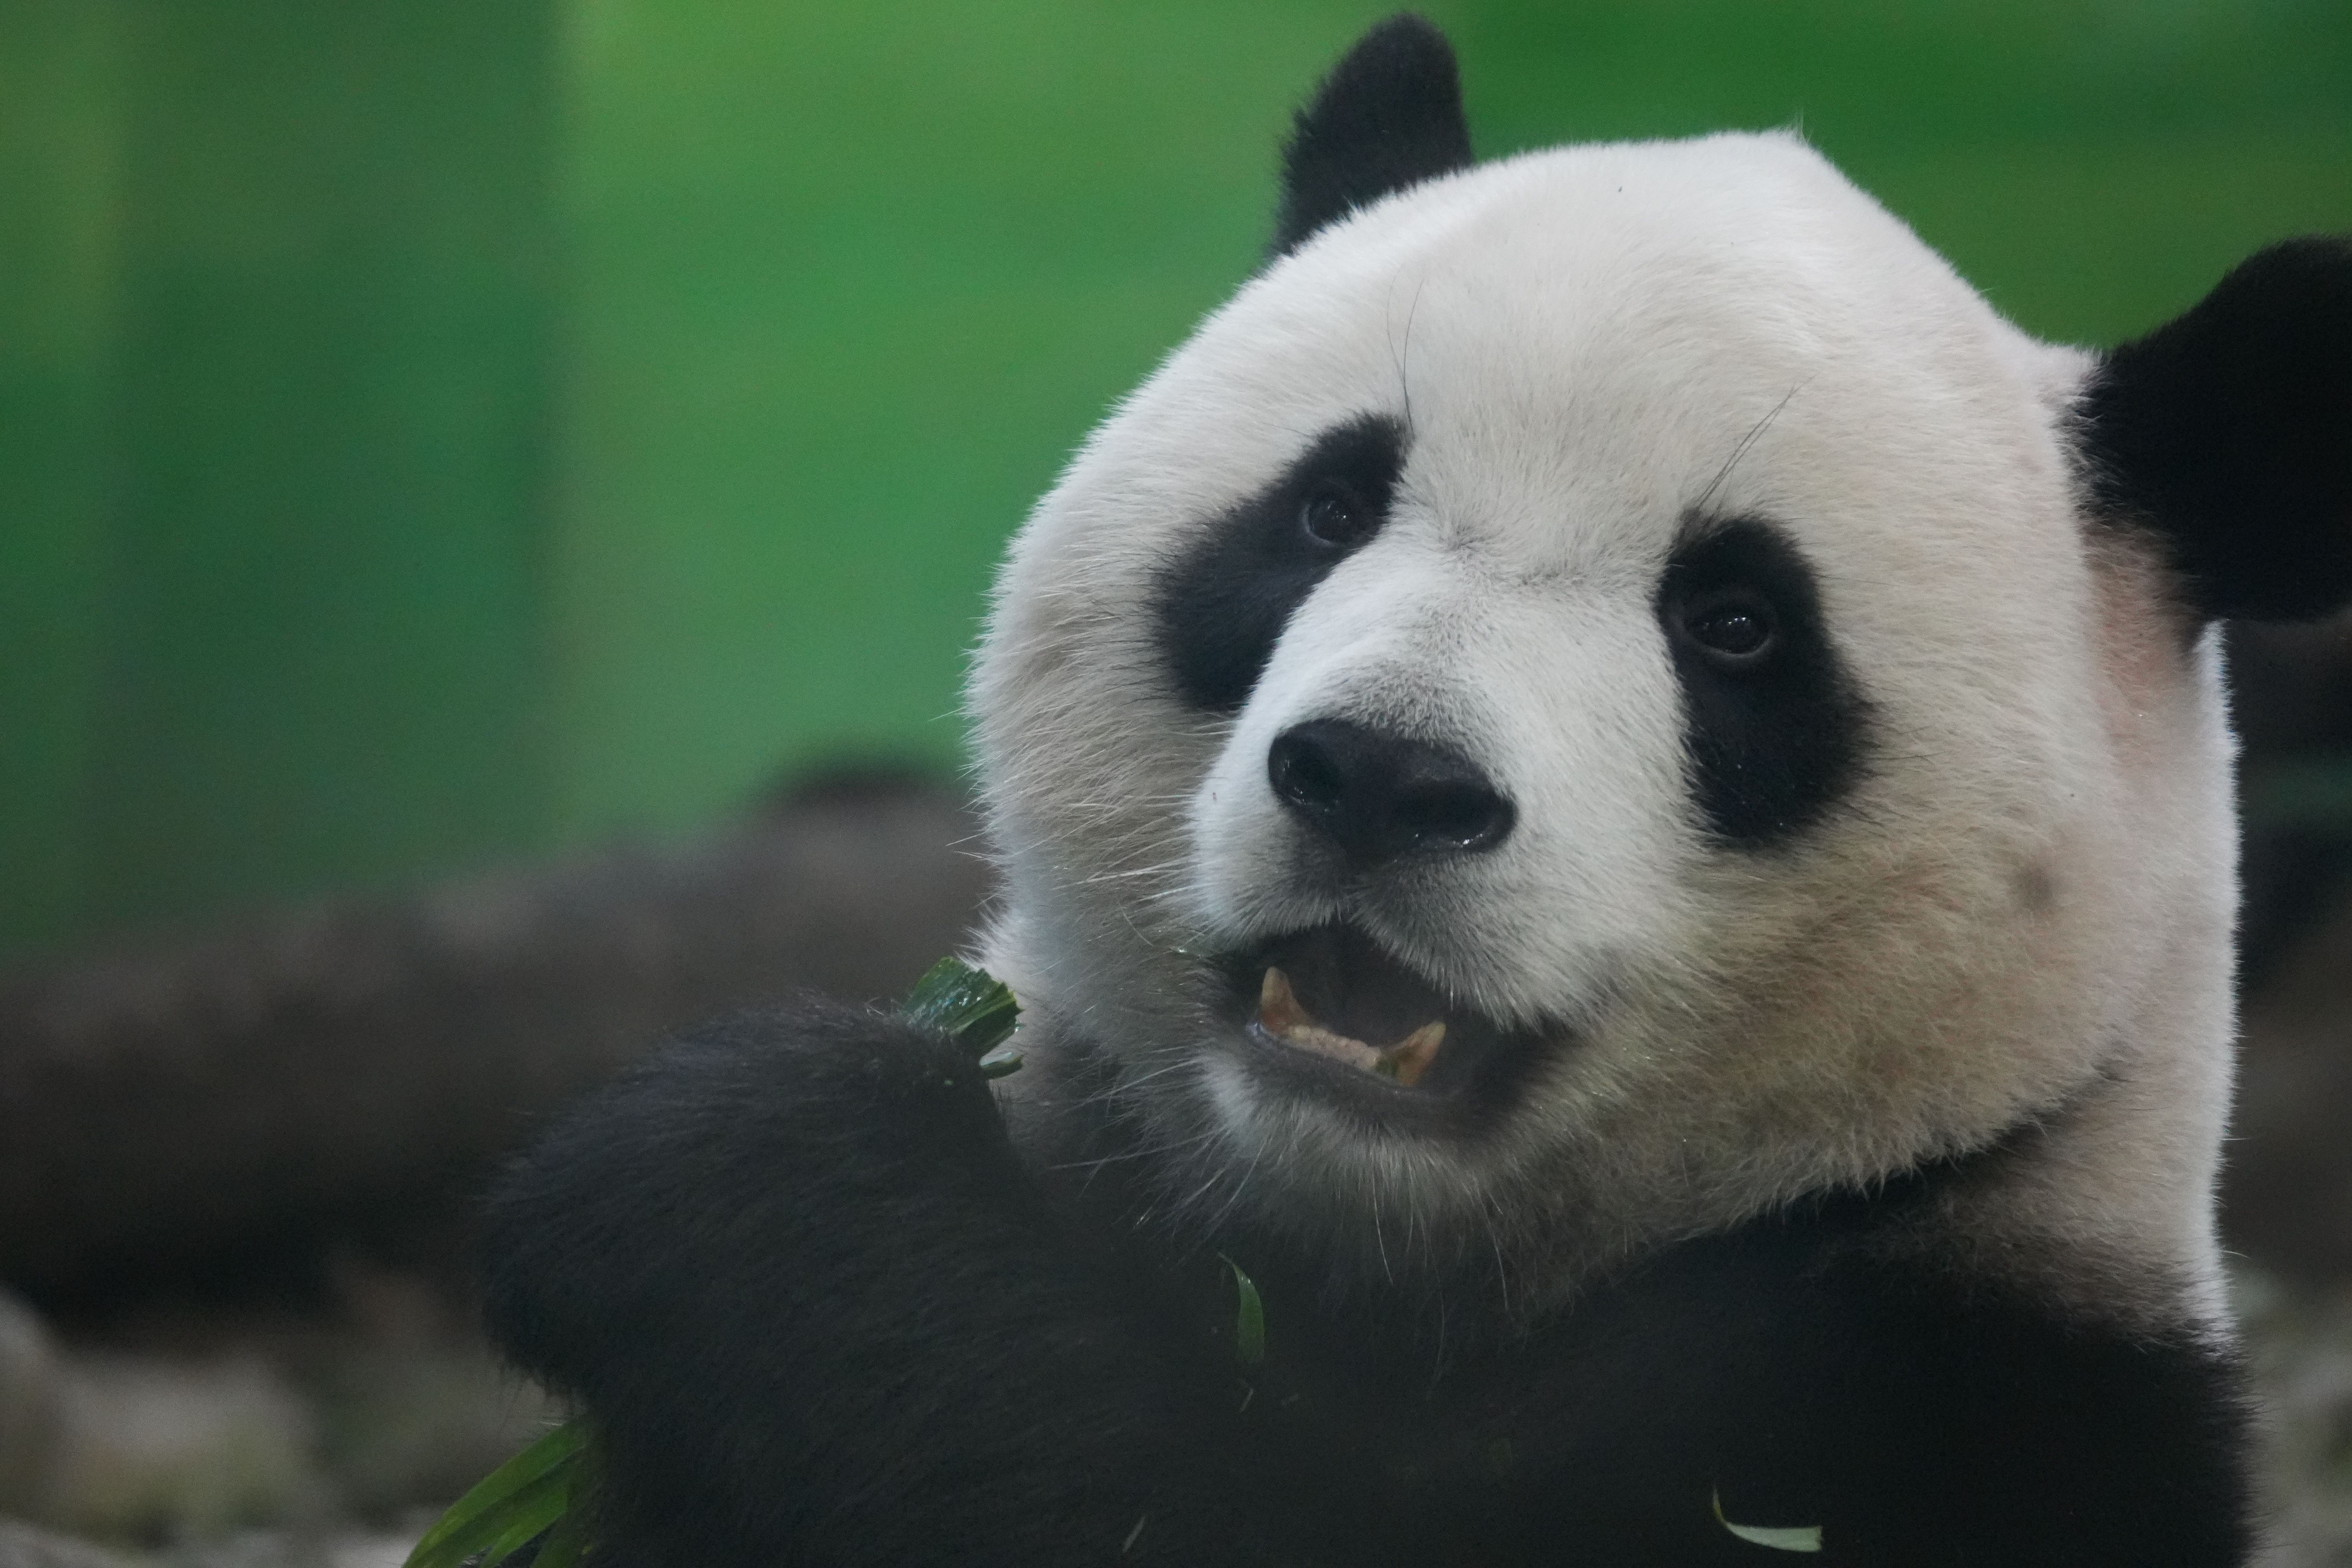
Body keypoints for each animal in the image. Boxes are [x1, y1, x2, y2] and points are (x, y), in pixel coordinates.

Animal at [481, 16, 2352, 1567]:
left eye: (1734, 623)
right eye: (1325, 509)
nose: (1382, 779)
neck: (1364, 1250)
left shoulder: (1958, 1405)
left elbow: (1200, 1506)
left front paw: (743, 1157)